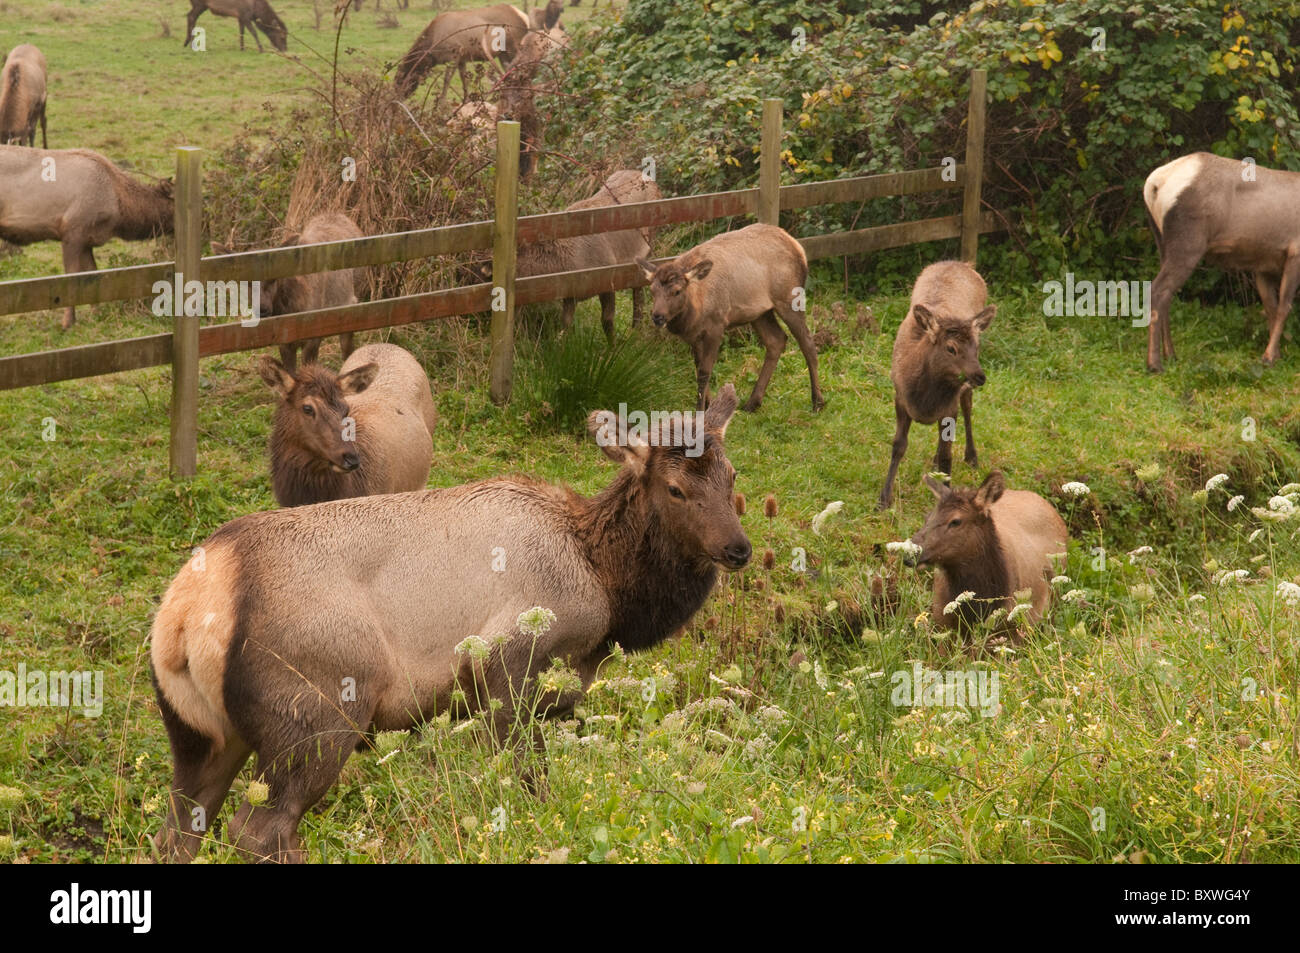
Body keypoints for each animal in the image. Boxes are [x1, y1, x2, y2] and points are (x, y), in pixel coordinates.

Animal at [0, 145, 173, 329]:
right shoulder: (72, 231)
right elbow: (70, 278)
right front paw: (67, 322)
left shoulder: (87, 240)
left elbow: (92, 276)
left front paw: (97, 314)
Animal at [150, 384, 749, 862]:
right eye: (676, 489)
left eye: (731, 475)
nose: (738, 549)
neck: (606, 585)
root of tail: (185, 610)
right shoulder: (508, 659)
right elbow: (528, 782)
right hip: (317, 711)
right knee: (260, 830)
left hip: (200, 734)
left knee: (178, 831)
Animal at [636, 223, 823, 413]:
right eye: (652, 291)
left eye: (677, 291)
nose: (658, 317)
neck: (696, 309)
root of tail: (798, 247)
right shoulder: (694, 335)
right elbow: (698, 366)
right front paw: (707, 404)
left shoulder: (717, 325)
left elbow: (704, 371)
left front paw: (700, 410)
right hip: (760, 312)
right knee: (776, 340)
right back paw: (753, 402)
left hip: (789, 298)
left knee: (808, 343)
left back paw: (817, 401)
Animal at [878, 260, 995, 509]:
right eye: (951, 348)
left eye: (977, 347)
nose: (980, 376)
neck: (925, 400)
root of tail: (962, 263)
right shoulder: (900, 398)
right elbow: (898, 445)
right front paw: (884, 498)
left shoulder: (949, 407)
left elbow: (946, 455)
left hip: (964, 391)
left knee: (967, 407)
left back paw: (971, 456)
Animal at [1143, 151, 1300, 370]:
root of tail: (1154, 184)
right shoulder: (1295, 252)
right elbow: (1284, 307)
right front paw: (1269, 357)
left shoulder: (1263, 264)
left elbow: (1271, 307)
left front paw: (1275, 355)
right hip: (1188, 242)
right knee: (1158, 290)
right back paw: (1155, 363)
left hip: (1162, 242)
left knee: (1166, 294)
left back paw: (1171, 355)